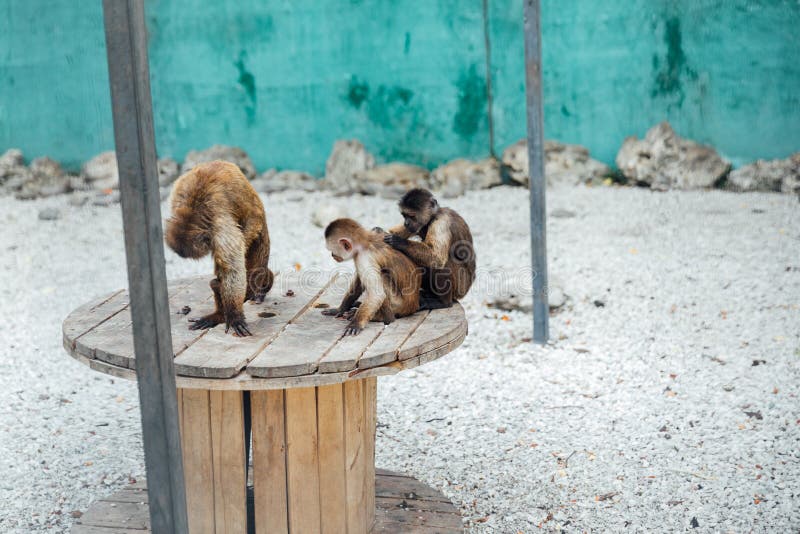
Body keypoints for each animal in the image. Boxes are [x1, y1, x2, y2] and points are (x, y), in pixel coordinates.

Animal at [164, 160, 274, 337]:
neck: (193, 209)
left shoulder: (219, 227)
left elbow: (232, 270)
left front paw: (234, 316)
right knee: (216, 281)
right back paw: (219, 315)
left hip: (259, 240)